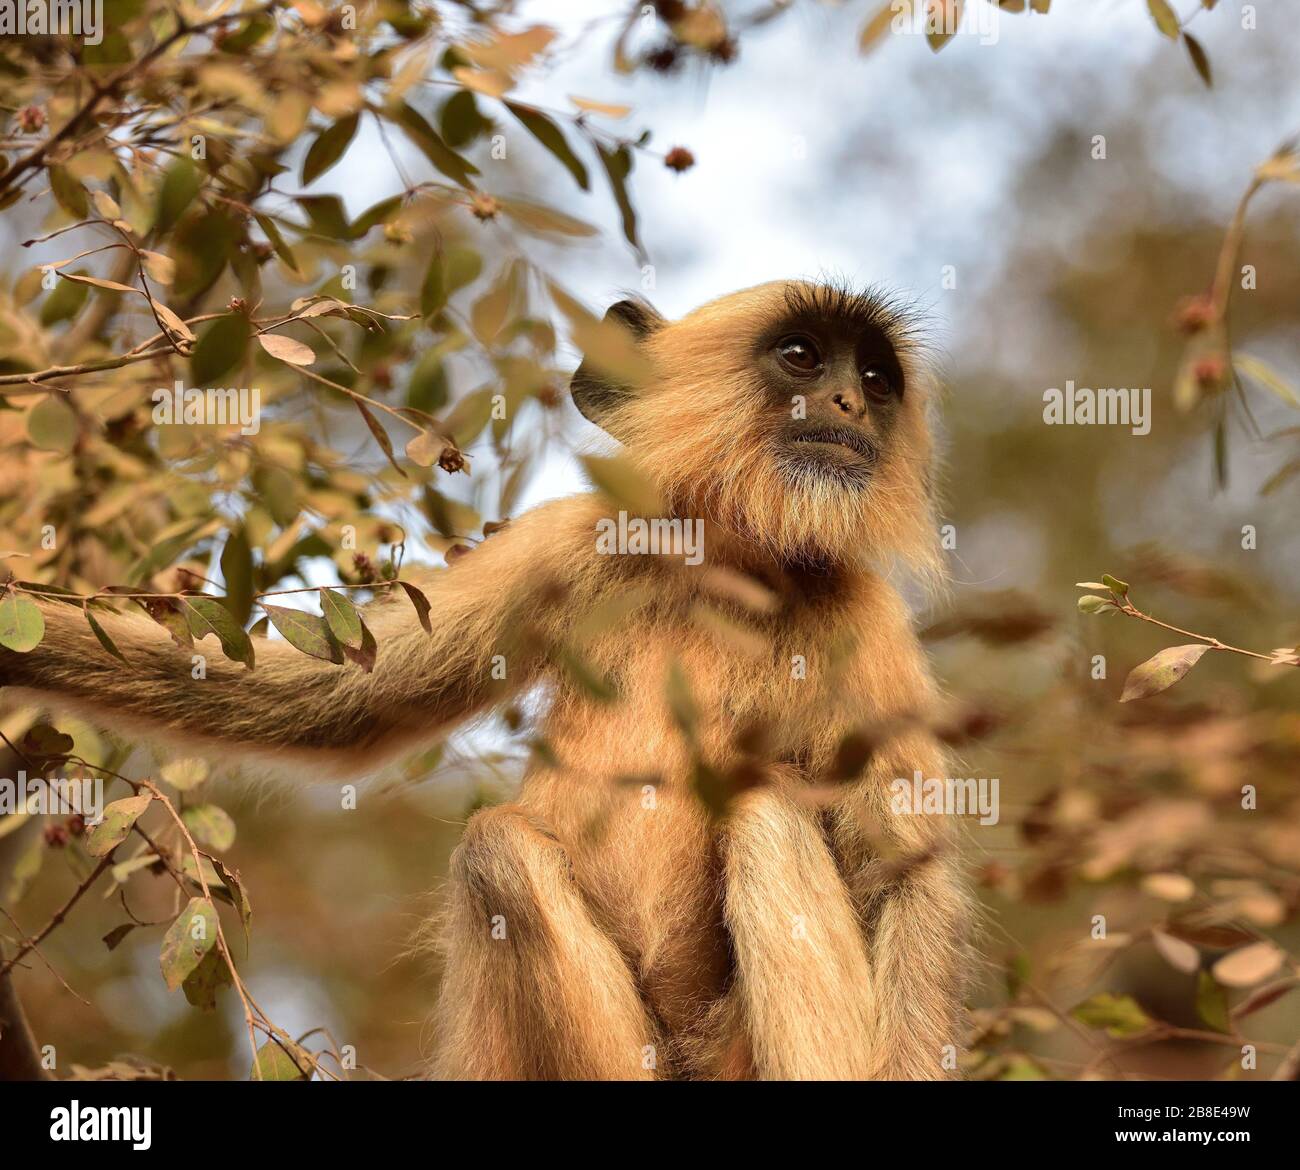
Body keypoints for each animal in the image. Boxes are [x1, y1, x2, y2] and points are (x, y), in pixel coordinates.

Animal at [0, 279, 972, 1080]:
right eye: (803, 356)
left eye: (876, 379)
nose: (850, 402)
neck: (732, 571)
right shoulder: (573, 546)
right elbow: (349, 703)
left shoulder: (867, 621)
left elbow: (902, 874)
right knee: (499, 853)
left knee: (756, 811)